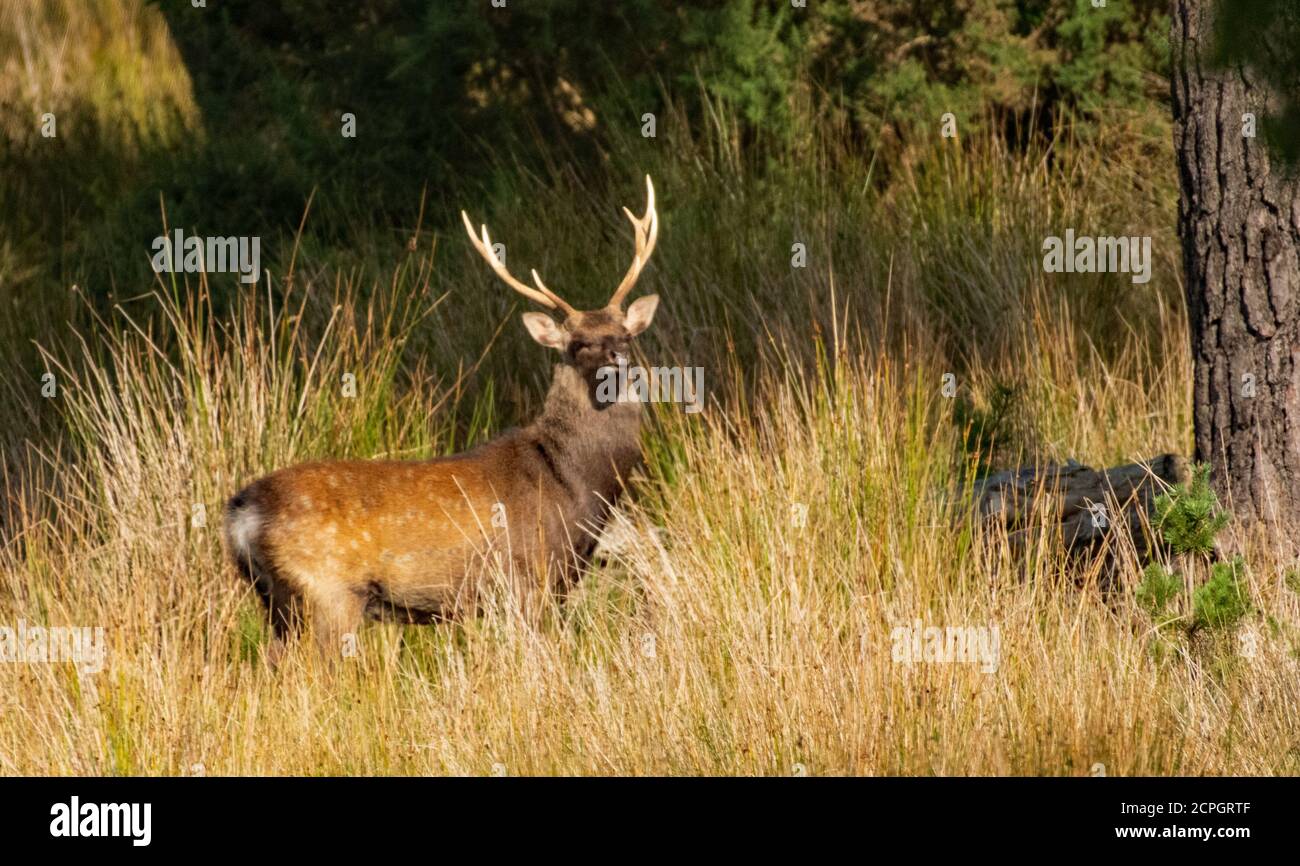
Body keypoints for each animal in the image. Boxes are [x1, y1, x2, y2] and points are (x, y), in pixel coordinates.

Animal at [224, 176, 661, 659]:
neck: (574, 482)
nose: (618, 359)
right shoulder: (527, 580)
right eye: (578, 343)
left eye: (625, 334)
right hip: (326, 594)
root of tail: (241, 512)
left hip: (278, 603)